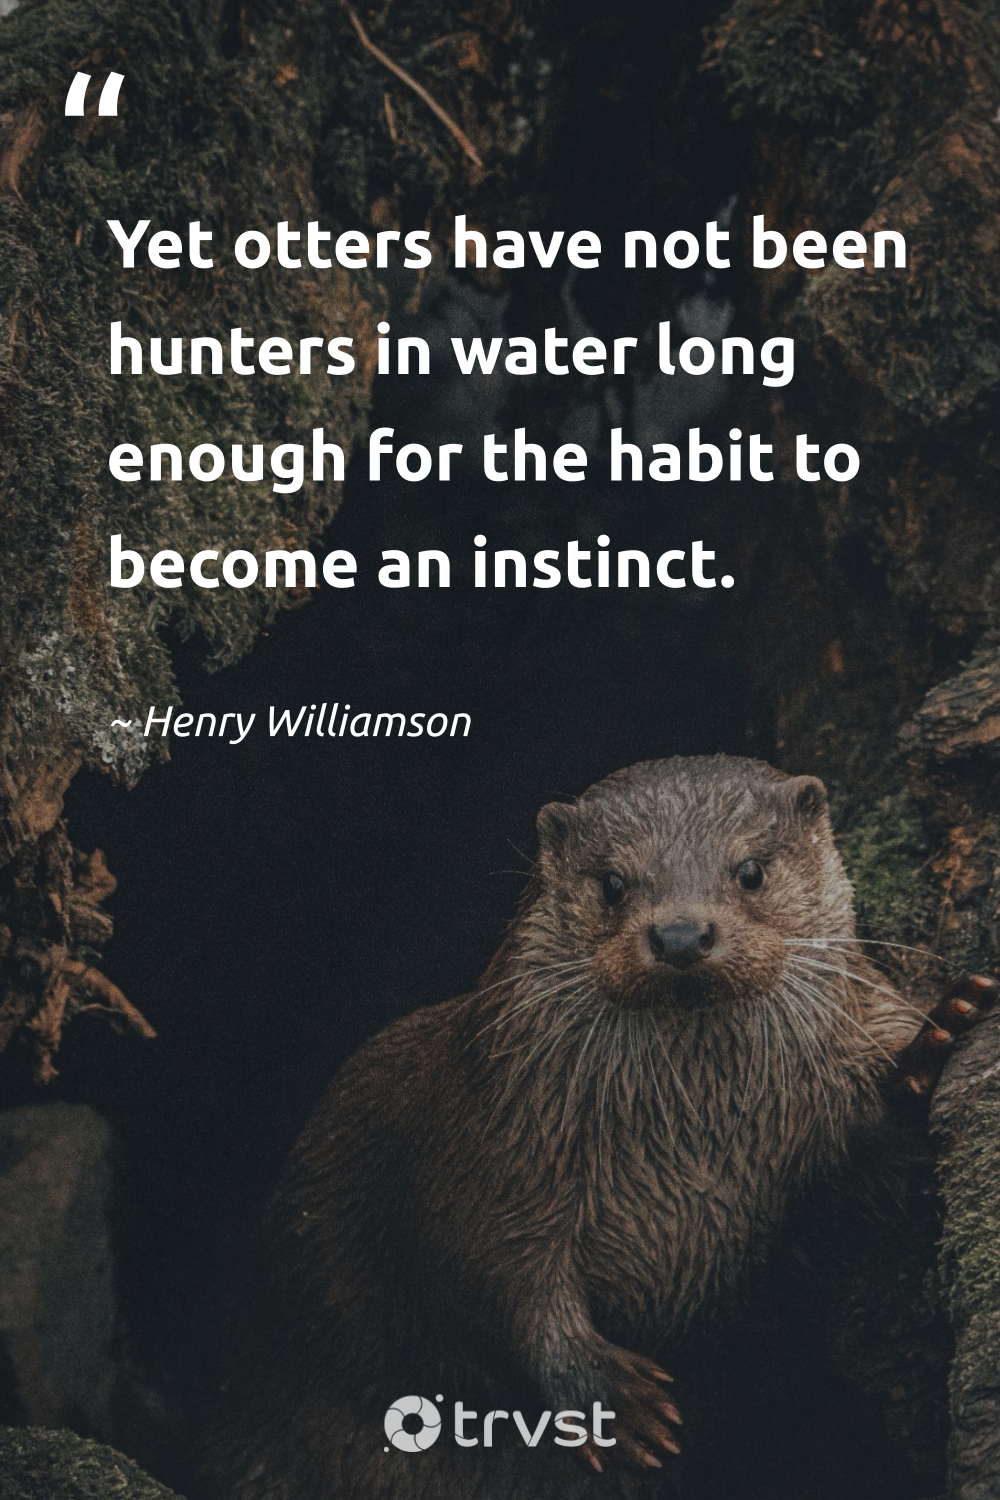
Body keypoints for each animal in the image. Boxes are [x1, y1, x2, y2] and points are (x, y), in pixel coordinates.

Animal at [206, 756, 995, 1500]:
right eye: (614, 882)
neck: (696, 1153)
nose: (680, 932)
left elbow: (883, 1167)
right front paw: (610, 1402)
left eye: (750, 870)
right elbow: (487, 1275)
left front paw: (941, 1038)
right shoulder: (491, 1148)